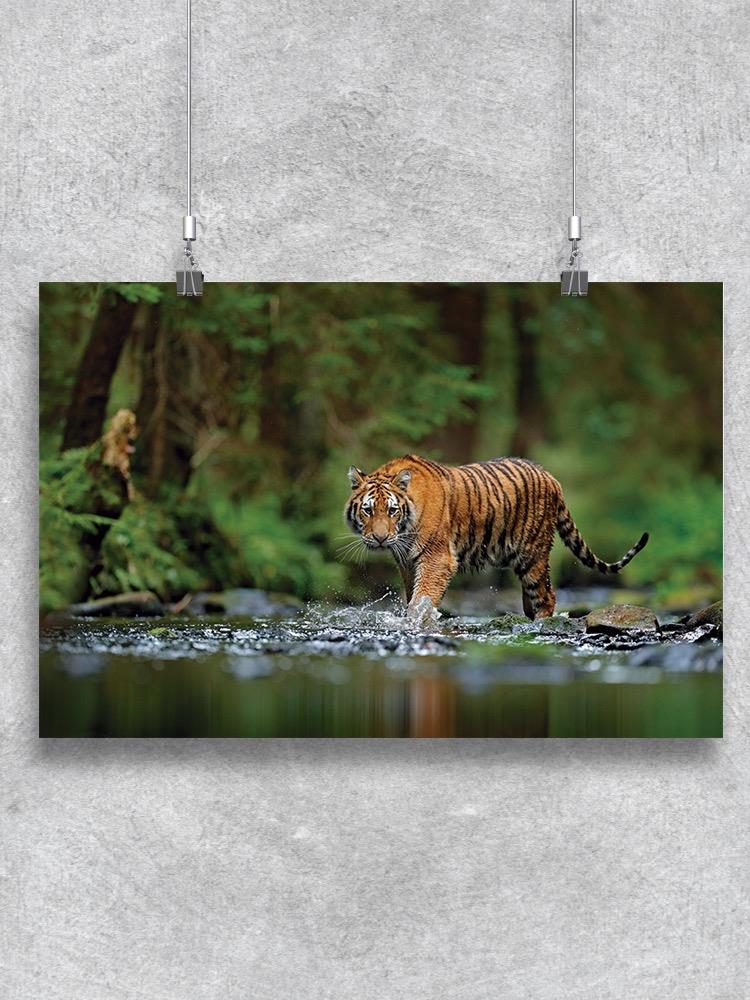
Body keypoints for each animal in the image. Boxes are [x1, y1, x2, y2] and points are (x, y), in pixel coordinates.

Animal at [344, 454, 648, 619]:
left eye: (392, 510)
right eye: (368, 510)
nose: (380, 539)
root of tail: (551, 477)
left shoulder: (437, 558)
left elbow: (423, 597)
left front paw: (417, 621)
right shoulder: (407, 561)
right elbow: (413, 595)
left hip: (532, 554)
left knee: (547, 595)